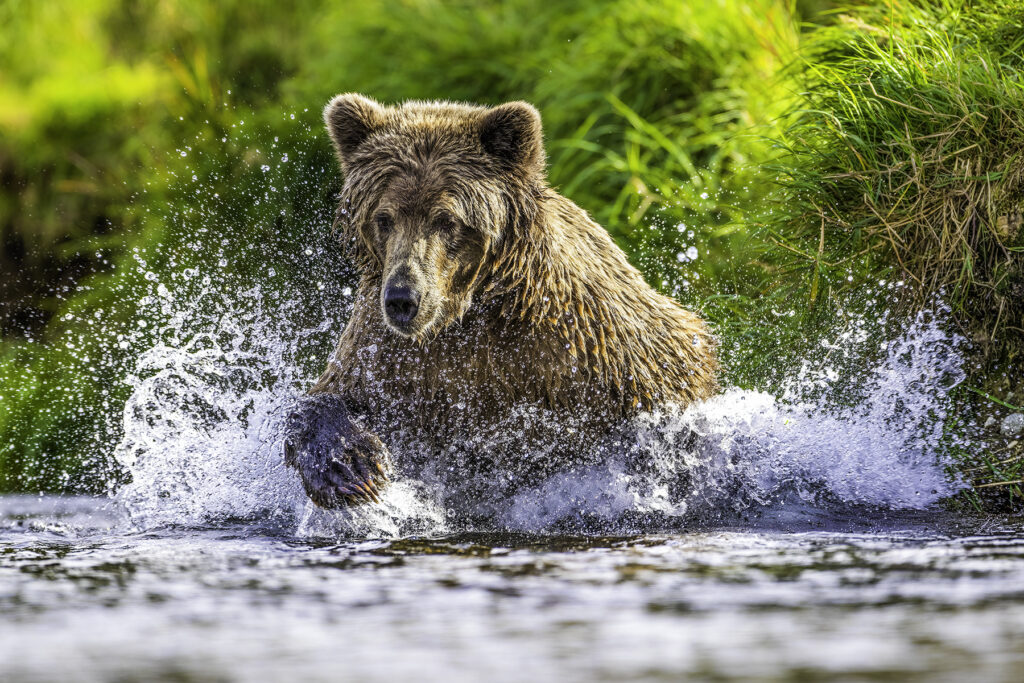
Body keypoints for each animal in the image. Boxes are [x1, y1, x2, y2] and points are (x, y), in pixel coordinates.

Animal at [283, 93, 718, 511]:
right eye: (384, 217)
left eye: (447, 219)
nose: (403, 299)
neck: (470, 312)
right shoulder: (391, 355)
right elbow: (328, 396)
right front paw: (348, 467)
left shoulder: (583, 347)